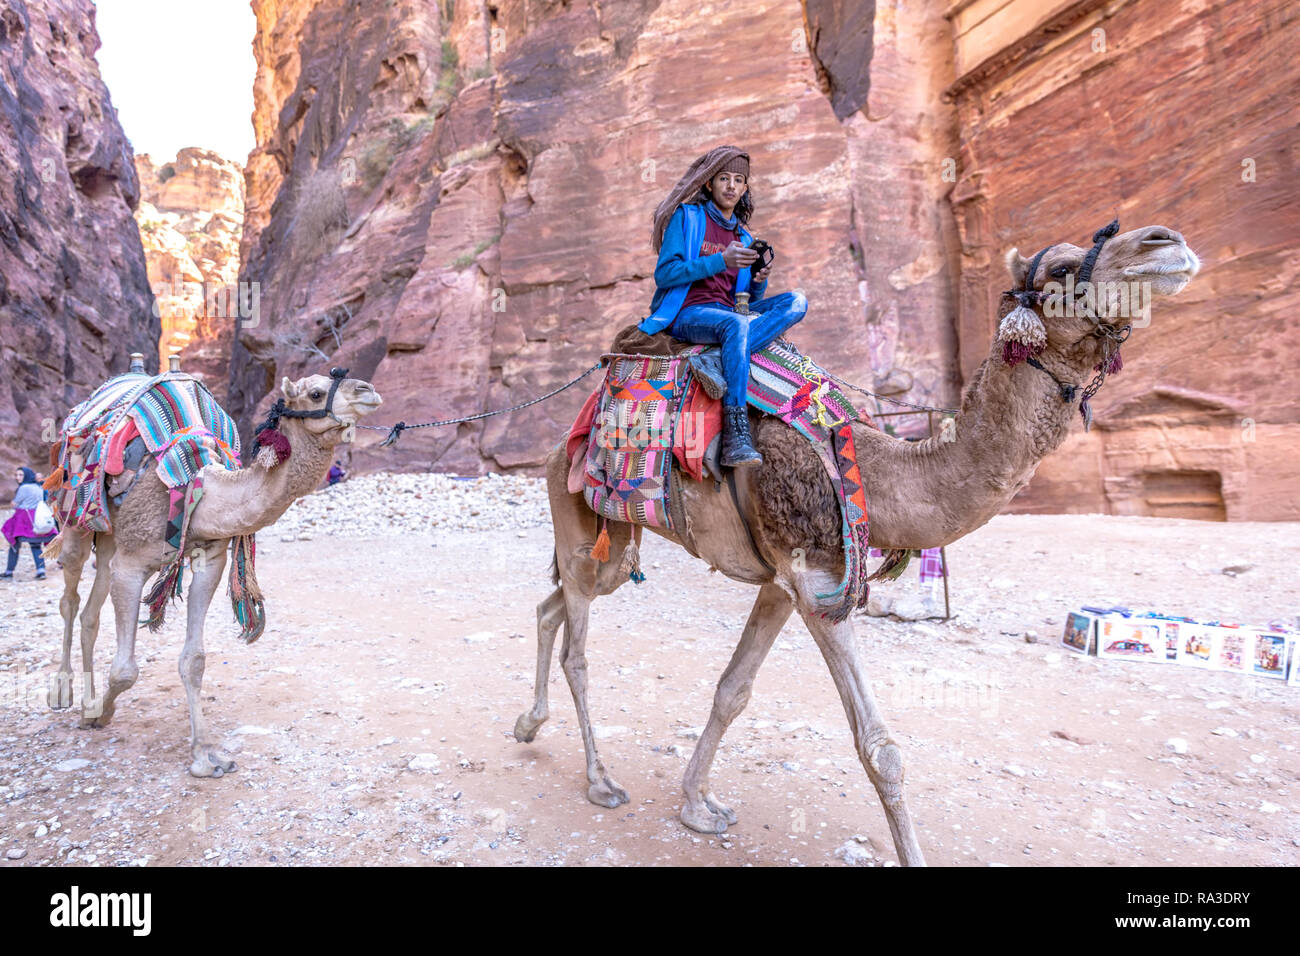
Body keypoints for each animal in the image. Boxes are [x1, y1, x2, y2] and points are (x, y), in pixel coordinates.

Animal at [48, 373, 381, 777]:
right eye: (316, 393)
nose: (368, 390)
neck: (199, 488)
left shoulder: (211, 559)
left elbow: (194, 660)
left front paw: (205, 756)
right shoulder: (132, 564)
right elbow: (125, 670)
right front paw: (98, 711)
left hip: (111, 536)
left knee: (90, 613)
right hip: (75, 514)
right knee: (70, 596)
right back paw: (63, 691)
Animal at [514, 222, 1201, 865]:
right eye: (1059, 268)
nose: (1166, 243)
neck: (877, 472)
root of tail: (564, 438)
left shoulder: (783, 581)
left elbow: (733, 691)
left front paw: (697, 806)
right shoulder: (818, 584)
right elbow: (881, 748)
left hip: (614, 541)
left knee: (553, 604)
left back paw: (529, 723)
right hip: (575, 509)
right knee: (577, 642)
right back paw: (600, 781)